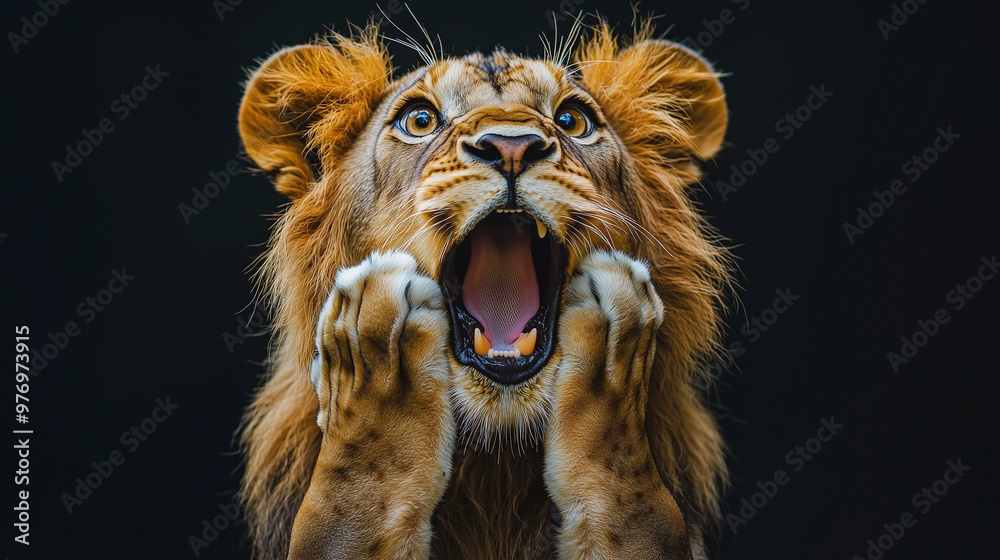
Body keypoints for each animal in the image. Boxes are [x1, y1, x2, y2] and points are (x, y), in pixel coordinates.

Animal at [236, 18, 732, 560]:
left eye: (573, 119)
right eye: (420, 120)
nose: (512, 147)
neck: (495, 472)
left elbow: (624, 485)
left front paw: (610, 353)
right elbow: (360, 489)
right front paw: (383, 372)